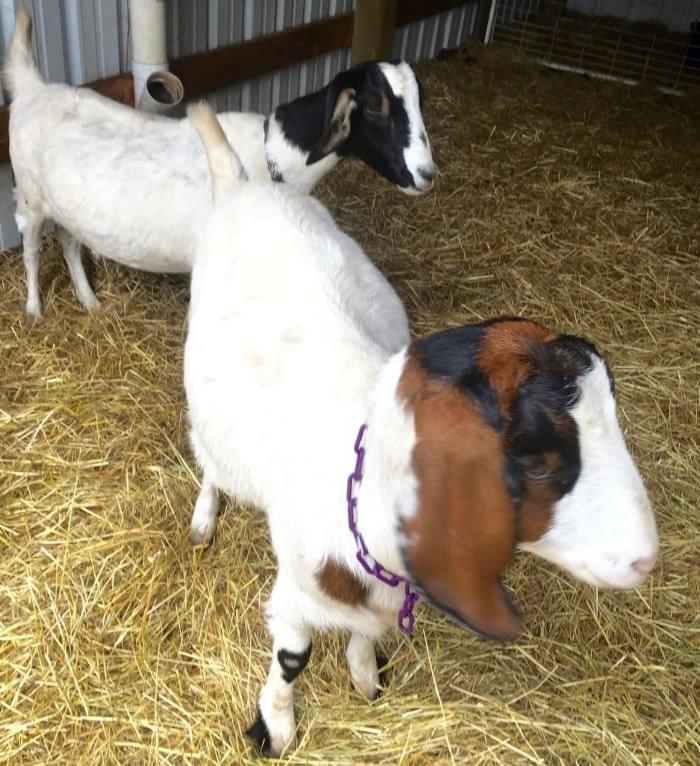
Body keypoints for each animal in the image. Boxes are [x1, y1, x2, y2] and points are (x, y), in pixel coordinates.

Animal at [4, 5, 433, 317]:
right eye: (375, 106)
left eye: (420, 100)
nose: (426, 174)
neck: (271, 154)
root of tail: (33, 88)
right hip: (29, 196)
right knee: (31, 251)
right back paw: (34, 310)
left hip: (65, 206)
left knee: (69, 243)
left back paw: (89, 300)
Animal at [185, 101, 659, 756]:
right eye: (534, 460)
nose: (646, 560)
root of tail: (241, 185)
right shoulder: (297, 592)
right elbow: (293, 657)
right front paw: (274, 727)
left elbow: (369, 633)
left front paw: (365, 677)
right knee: (210, 460)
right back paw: (205, 516)